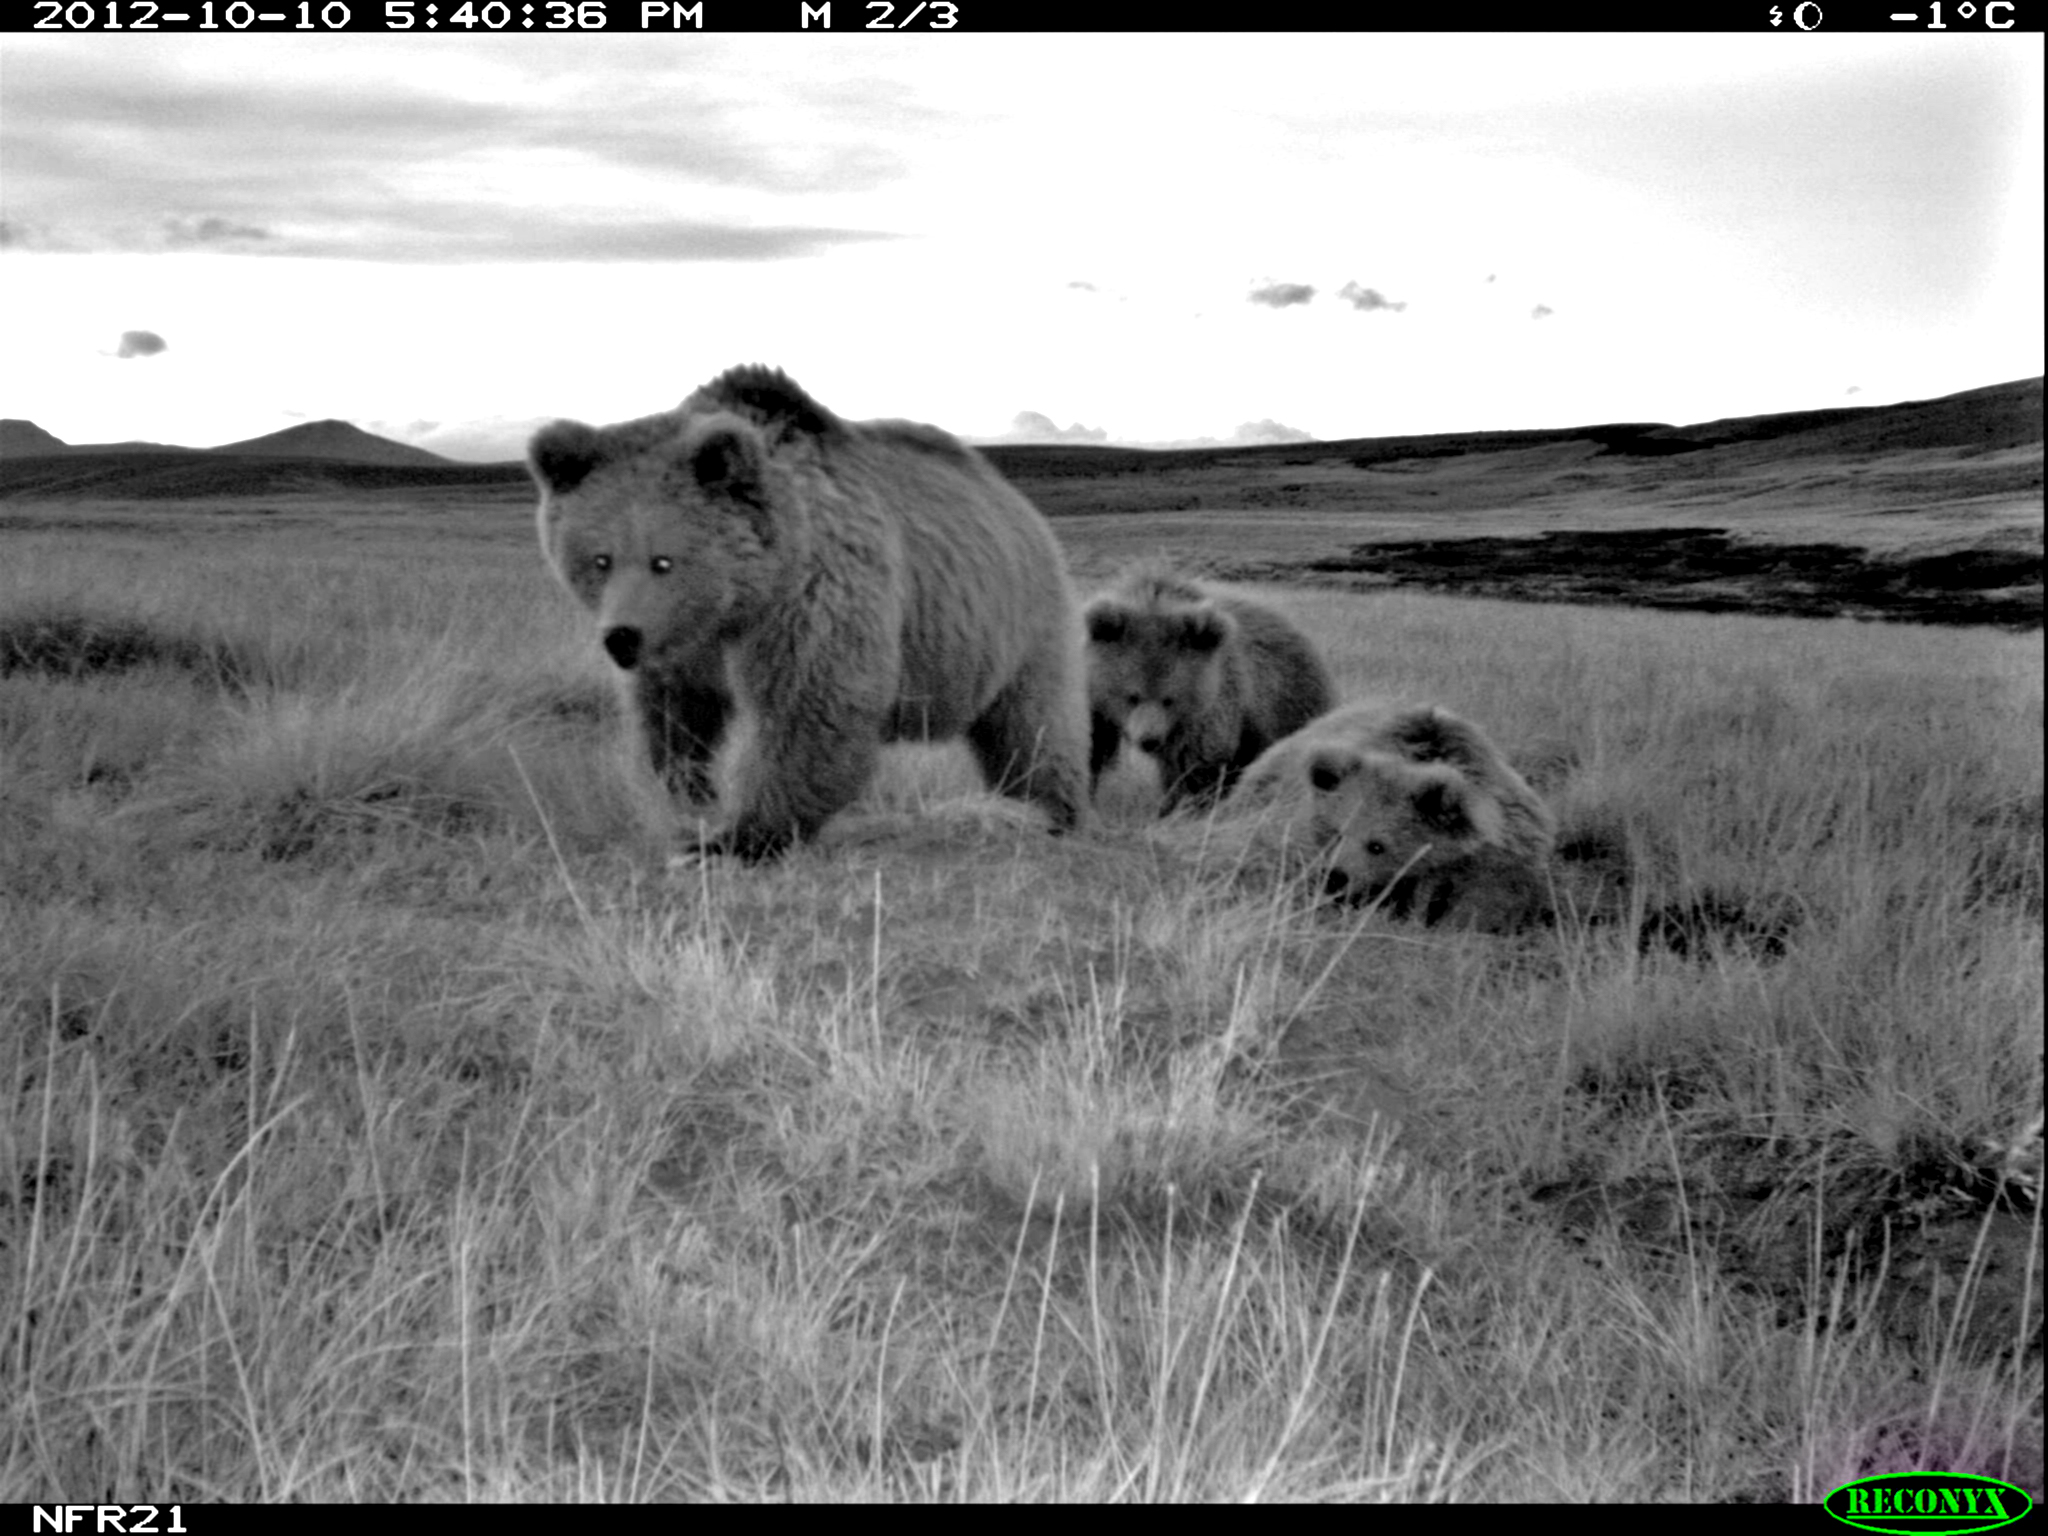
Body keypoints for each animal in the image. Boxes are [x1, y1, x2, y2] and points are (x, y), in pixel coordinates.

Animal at [528, 365, 1091, 860]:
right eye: (599, 558)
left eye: (663, 559)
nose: (621, 637)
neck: (739, 599)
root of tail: (1009, 493)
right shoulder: (685, 645)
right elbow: (675, 718)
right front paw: (689, 796)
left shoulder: (813, 595)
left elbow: (811, 709)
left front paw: (740, 838)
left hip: (1018, 619)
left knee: (1032, 721)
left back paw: (1047, 810)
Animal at [1083, 564, 1335, 813]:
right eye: (1131, 696)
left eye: (1169, 699)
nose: (1149, 740)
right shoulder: (1093, 705)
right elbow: (1091, 748)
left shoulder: (1213, 700)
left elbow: (1195, 763)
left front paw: (1185, 807)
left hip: (1286, 703)